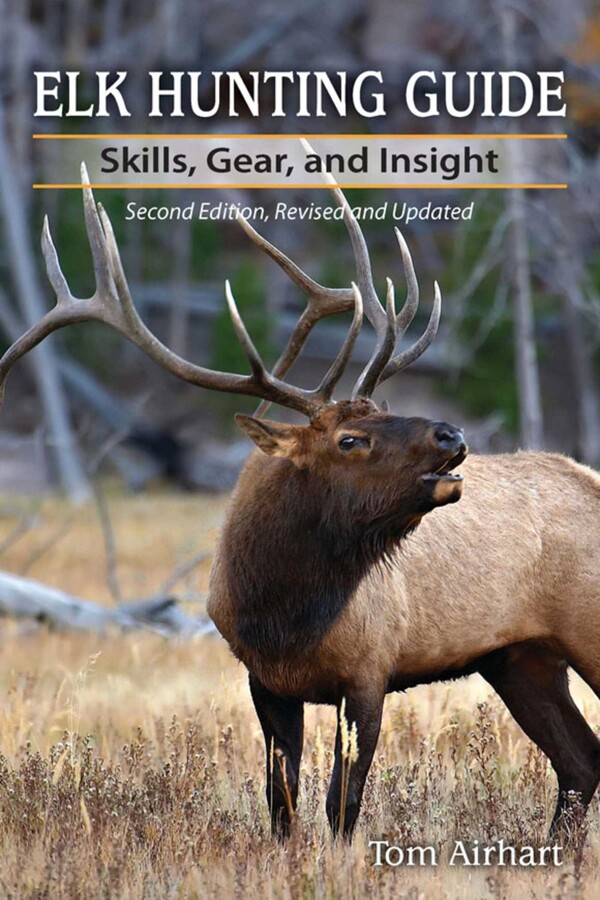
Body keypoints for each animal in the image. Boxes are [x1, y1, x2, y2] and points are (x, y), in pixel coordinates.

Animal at [1, 165, 600, 845]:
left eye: (385, 411)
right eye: (351, 438)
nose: (453, 434)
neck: (286, 612)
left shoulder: (369, 673)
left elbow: (343, 804)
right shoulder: (265, 679)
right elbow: (281, 801)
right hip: (520, 655)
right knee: (580, 760)